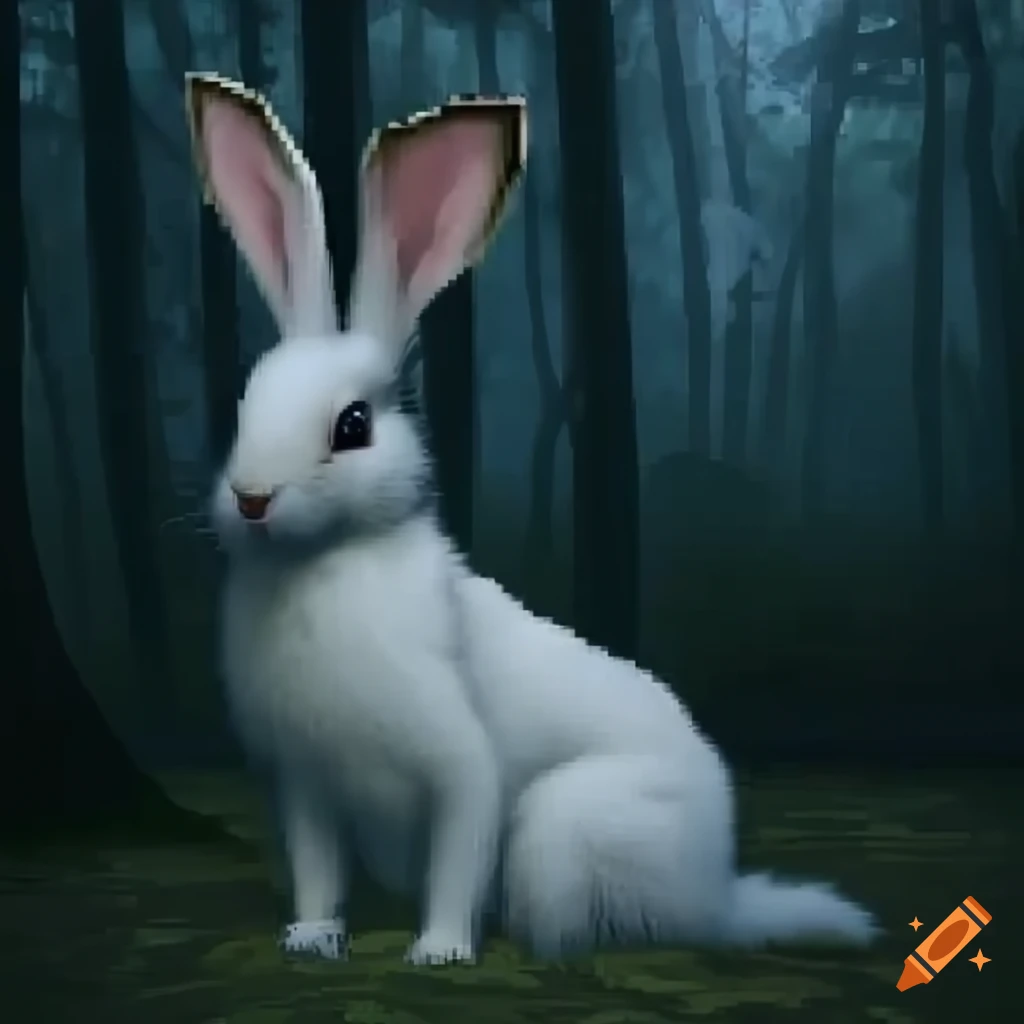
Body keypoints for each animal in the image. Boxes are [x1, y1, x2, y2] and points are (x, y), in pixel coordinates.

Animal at [186, 73, 876, 967]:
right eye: (246, 405)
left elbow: (460, 849)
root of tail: (719, 893)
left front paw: (441, 951)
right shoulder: (306, 784)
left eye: (353, 426)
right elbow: (315, 867)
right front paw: (309, 938)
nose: (252, 499)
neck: (321, 566)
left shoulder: (459, 762)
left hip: (564, 827)